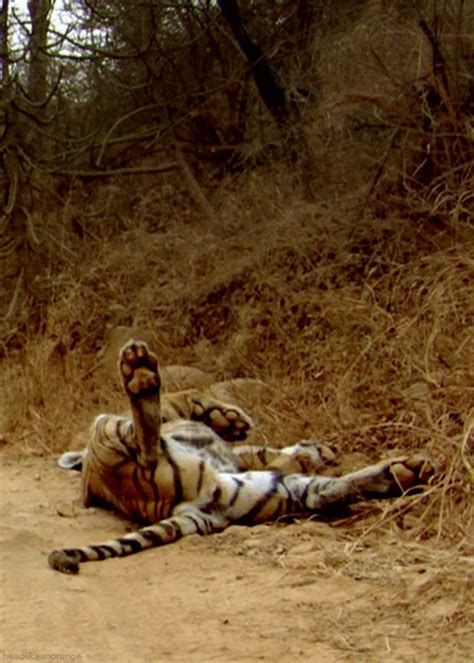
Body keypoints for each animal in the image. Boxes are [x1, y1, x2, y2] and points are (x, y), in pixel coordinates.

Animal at [48, 340, 432, 574]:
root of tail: (179, 506)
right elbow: (192, 398)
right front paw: (233, 420)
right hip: (111, 429)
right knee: (145, 434)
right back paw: (139, 371)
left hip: (262, 491)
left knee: (323, 492)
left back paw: (406, 472)